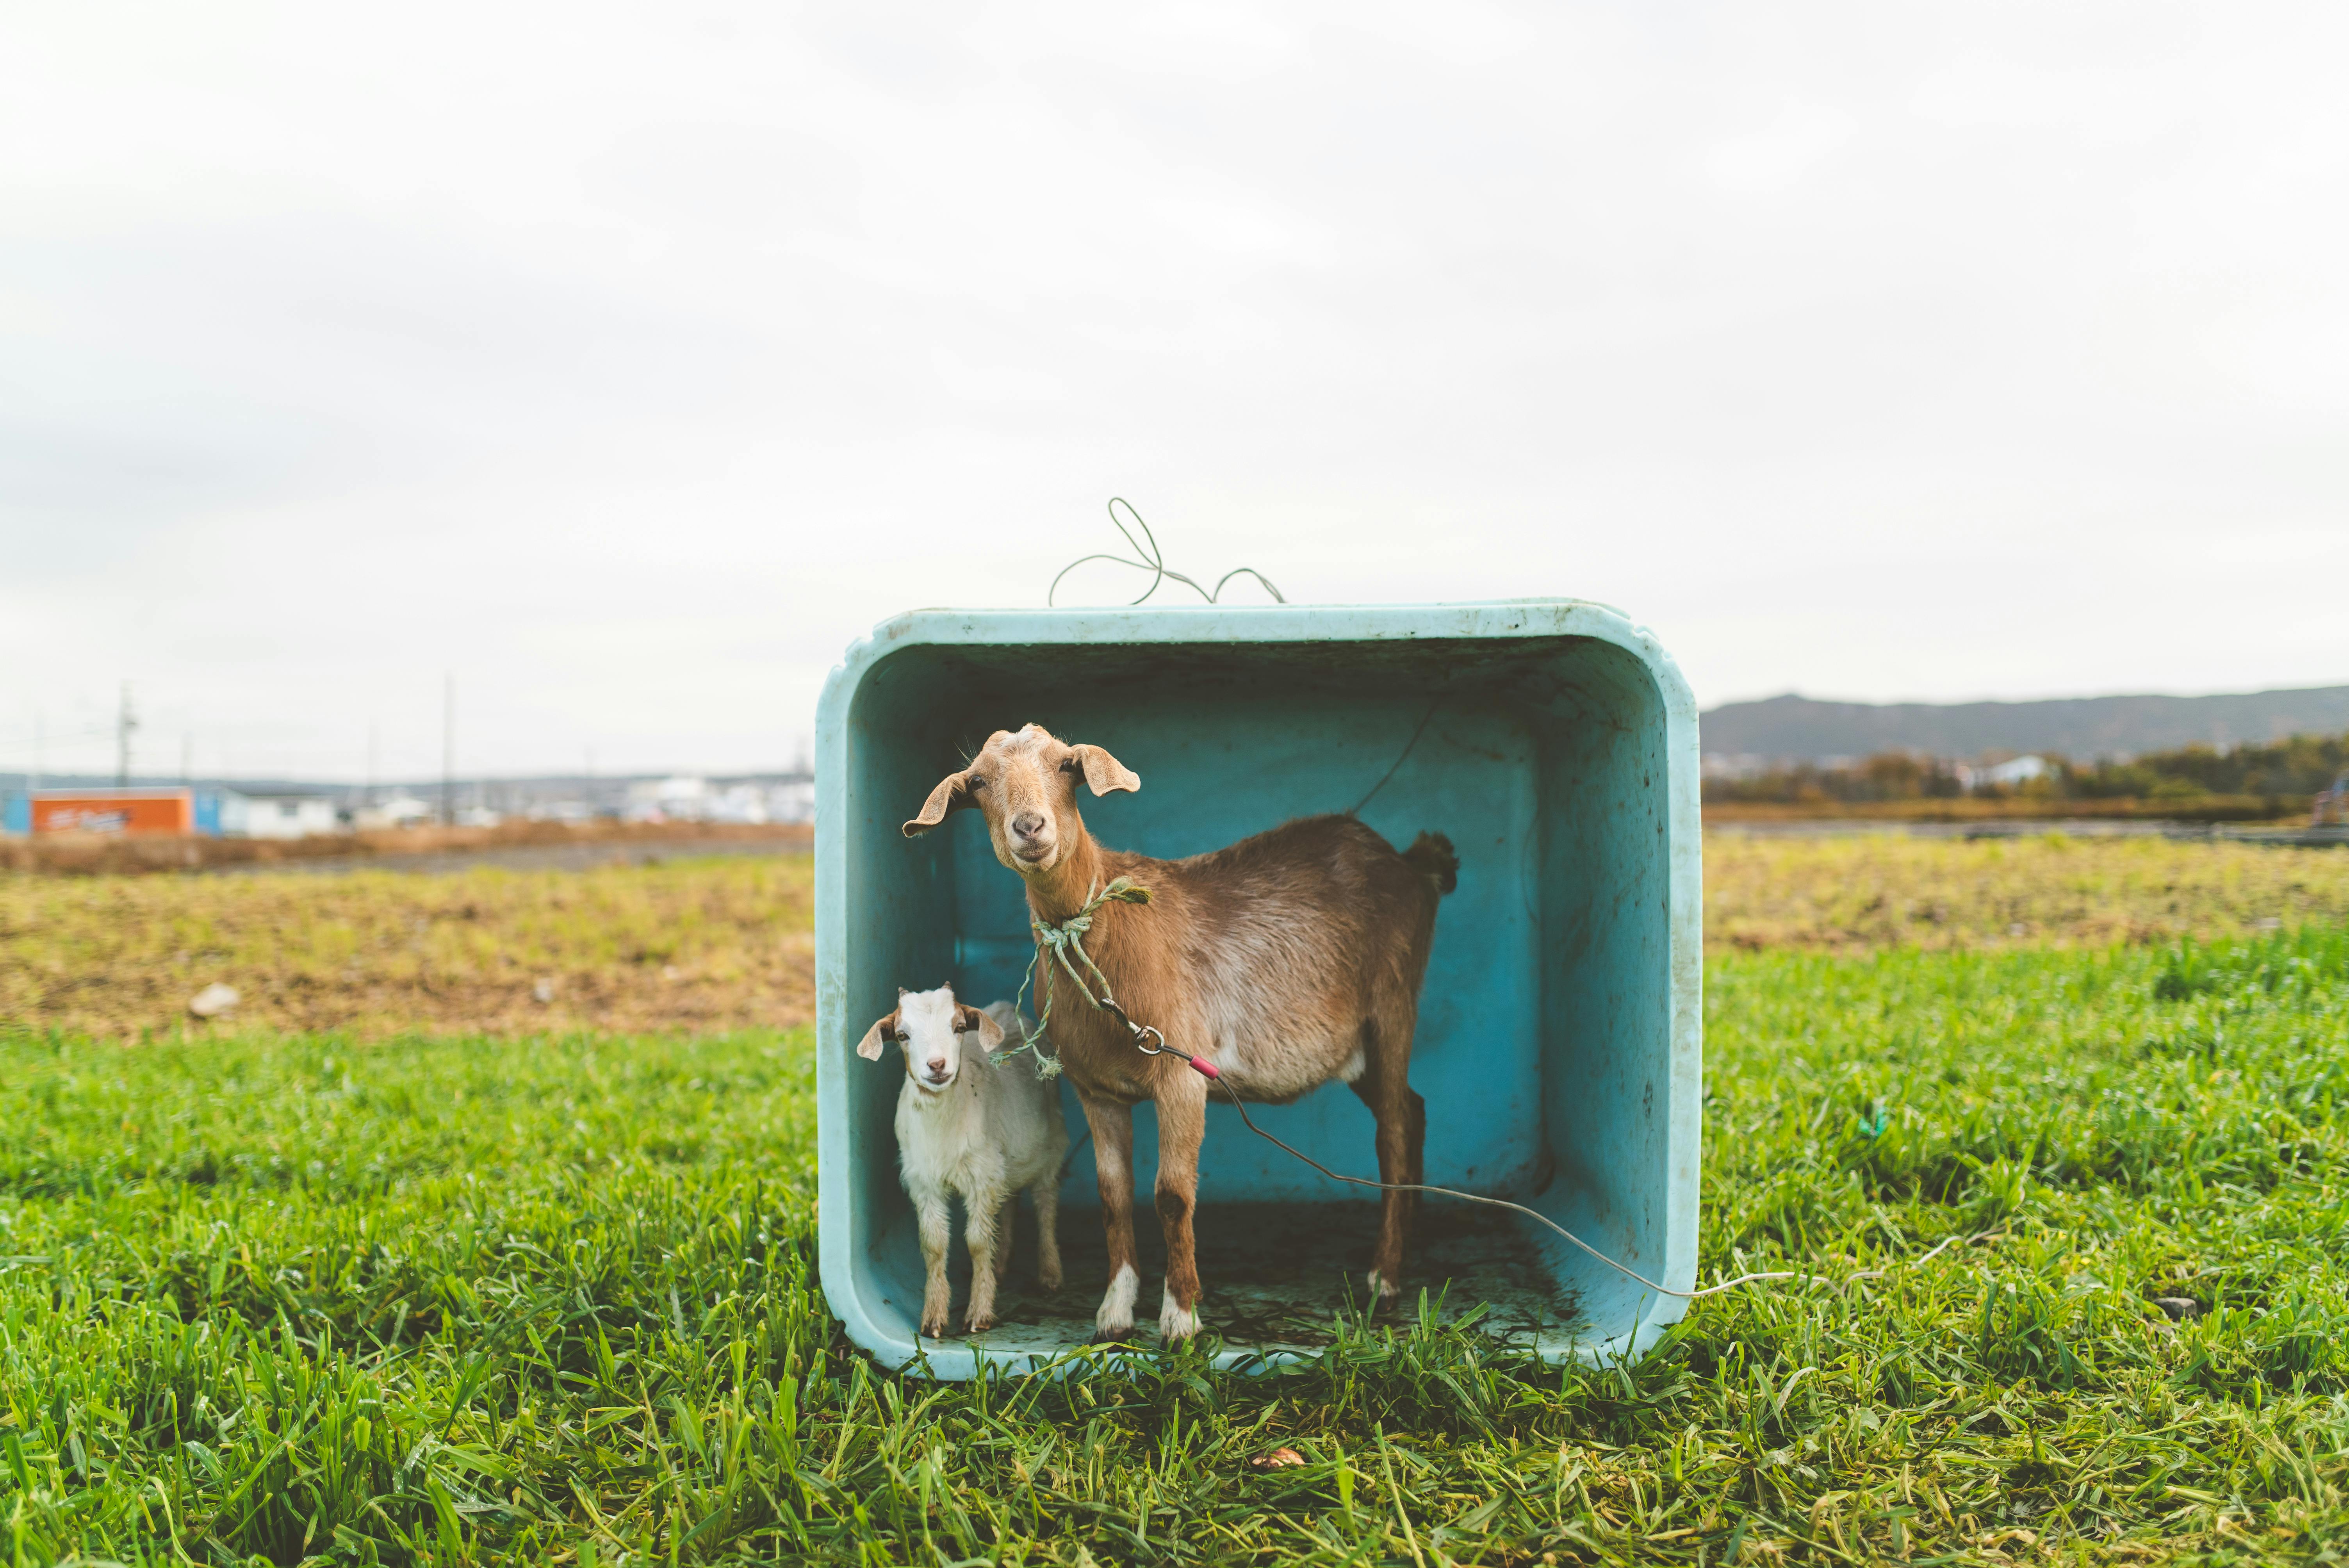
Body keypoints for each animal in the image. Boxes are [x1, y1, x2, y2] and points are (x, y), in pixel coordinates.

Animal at [858, 985, 1067, 1337]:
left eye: (958, 1027)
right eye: (902, 1035)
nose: (937, 1065)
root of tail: (1007, 1009)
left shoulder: (981, 1177)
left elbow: (977, 1243)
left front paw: (979, 1313)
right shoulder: (925, 1180)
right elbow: (934, 1245)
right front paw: (933, 1318)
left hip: (1050, 1144)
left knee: (1046, 1203)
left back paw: (1051, 1275)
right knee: (1009, 1202)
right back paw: (1001, 1265)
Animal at [903, 724, 1458, 1343]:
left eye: (1068, 765)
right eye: (977, 781)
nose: (1030, 827)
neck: (1107, 934)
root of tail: (1412, 864)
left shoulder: (1182, 1075)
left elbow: (1171, 1195)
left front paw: (1181, 1315)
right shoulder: (1096, 1090)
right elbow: (1113, 1197)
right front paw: (1115, 1310)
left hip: (1392, 1008)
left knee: (1394, 1130)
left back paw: (1384, 1278)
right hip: (1354, 1047)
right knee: (1412, 1108)